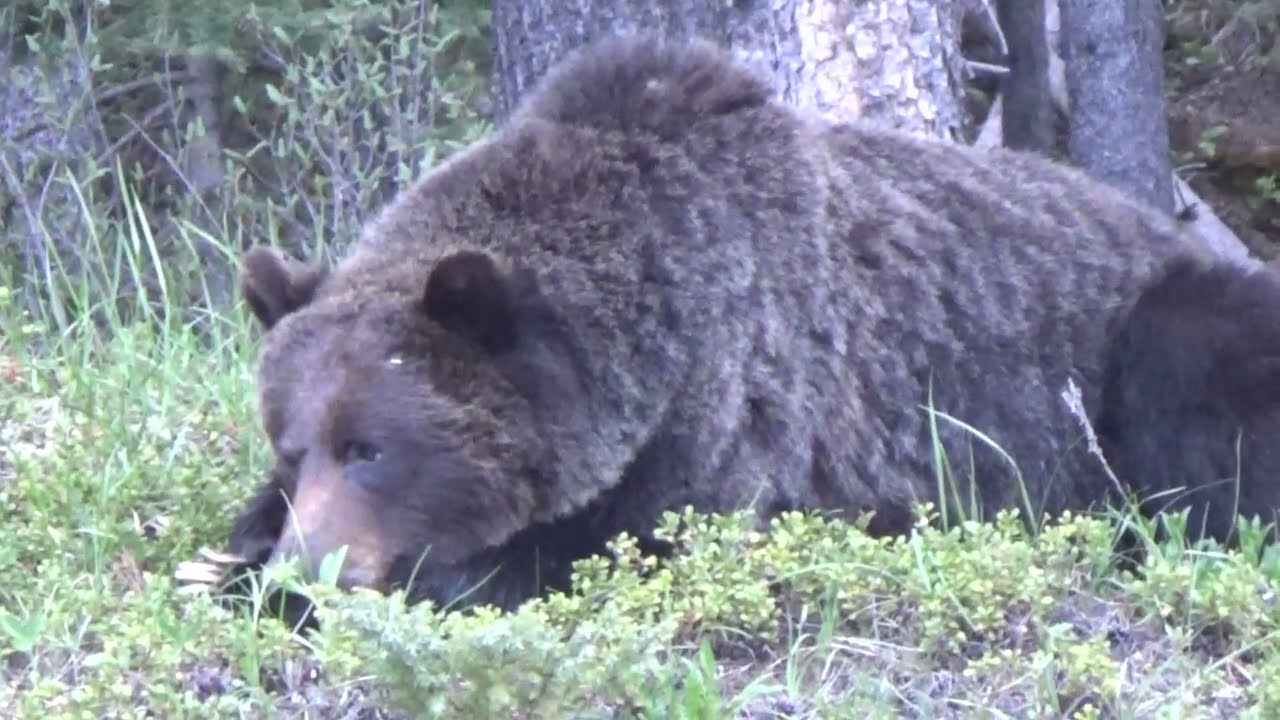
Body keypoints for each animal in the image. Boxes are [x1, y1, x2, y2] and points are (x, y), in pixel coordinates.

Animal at [219, 33, 1280, 622]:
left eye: (370, 447)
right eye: (292, 451)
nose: (299, 579)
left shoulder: (741, 420)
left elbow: (626, 545)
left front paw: (446, 577)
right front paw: (225, 560)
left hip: (1149, 329)